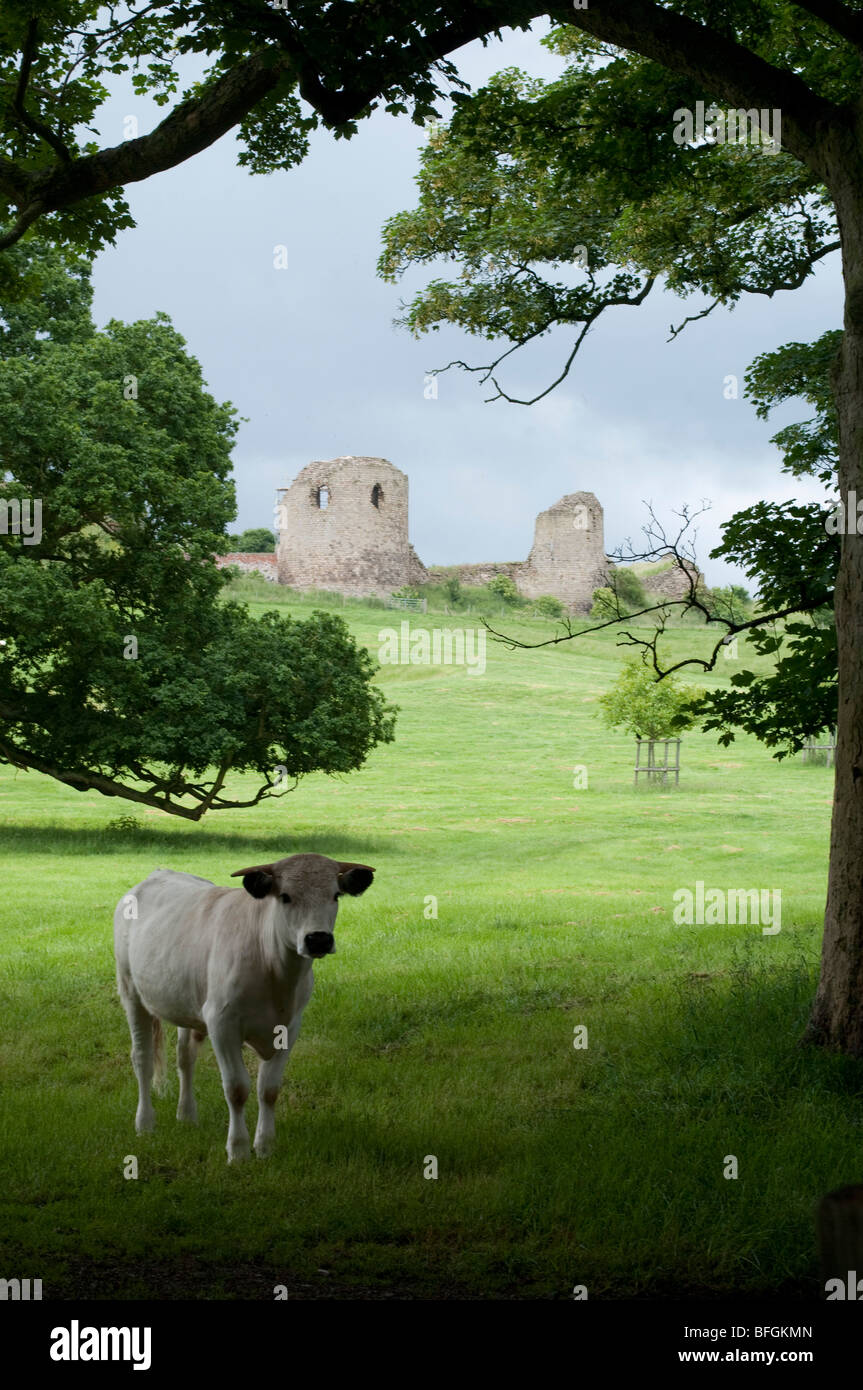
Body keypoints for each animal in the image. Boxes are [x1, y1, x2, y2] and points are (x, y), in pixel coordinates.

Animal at [114, 853, 375, 1161]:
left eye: (335, 895)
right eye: (285, 896)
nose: (318, 939)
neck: (275, 974)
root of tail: (156, 873)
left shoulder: (290, 1027)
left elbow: (269, 1089)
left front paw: (265, 1146)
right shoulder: (222, 1024)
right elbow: (237, 1088)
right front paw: (237, 1150)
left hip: (187, 1004)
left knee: (185, 1057)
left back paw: (187, 1115)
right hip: (131, 991)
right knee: (142, 1058)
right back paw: (145, 1123)